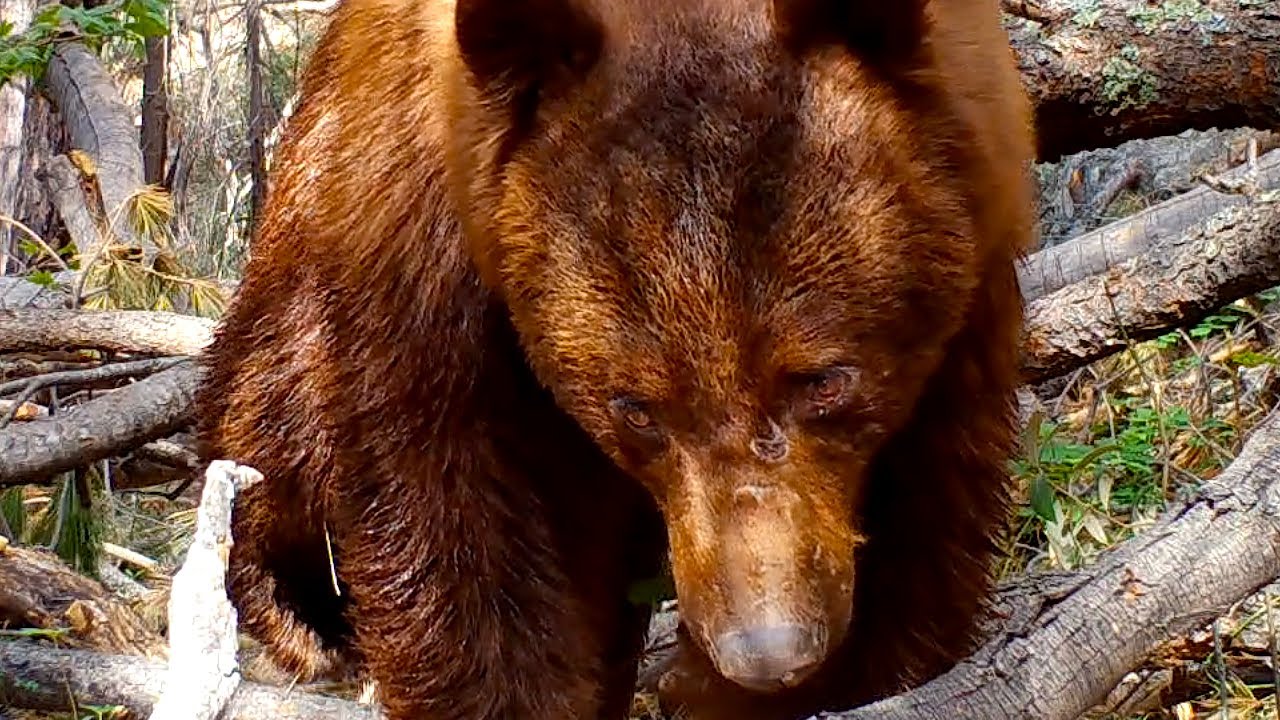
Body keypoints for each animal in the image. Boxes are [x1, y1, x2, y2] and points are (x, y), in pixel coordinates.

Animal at [193, 0, 1037, 718]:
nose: (766, 651)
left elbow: (926, 513)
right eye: (636, 407)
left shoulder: (969, 269)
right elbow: (452, 520)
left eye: (824, 378)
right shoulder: (428, 254)